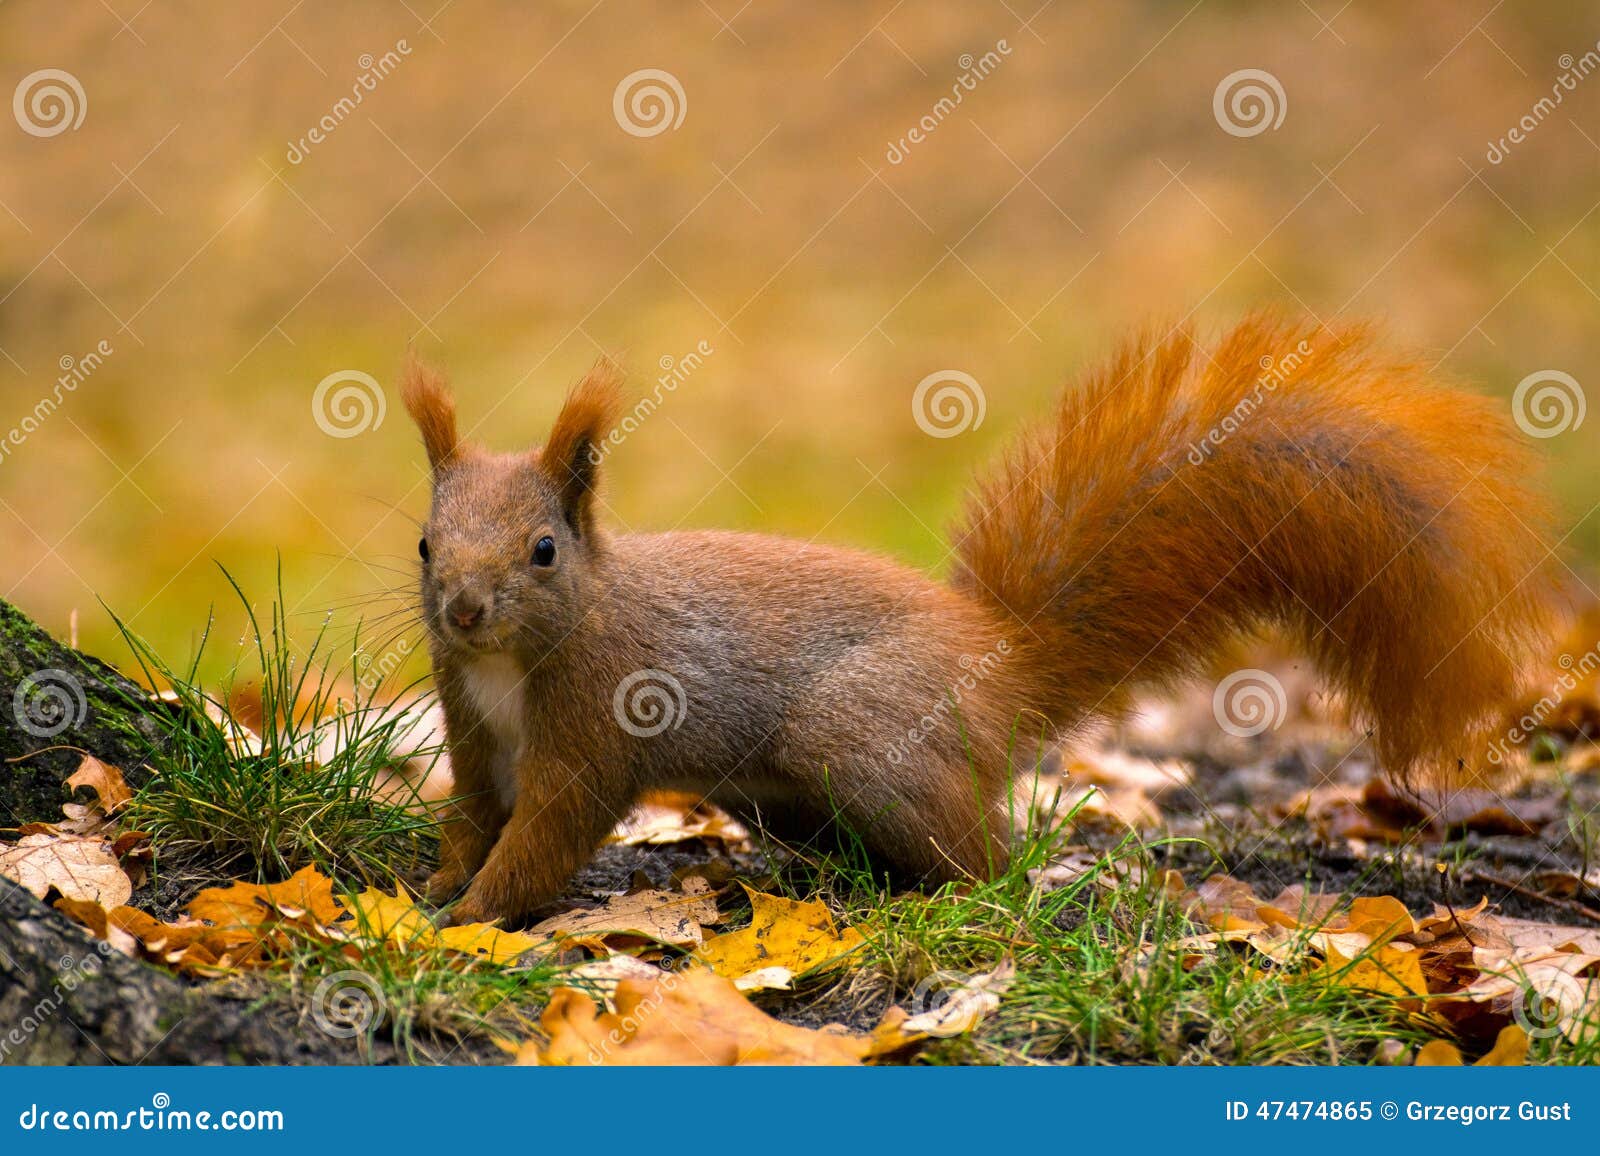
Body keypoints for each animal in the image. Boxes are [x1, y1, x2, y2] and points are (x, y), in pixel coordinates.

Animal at [400, 314, 1559, 926]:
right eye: (422, 542)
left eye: (543, 551)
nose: (461, 608)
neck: (516, 659)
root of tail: (1002, 660)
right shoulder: (473, 722)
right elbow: (476, 813)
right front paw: (436, 883)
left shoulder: (596, 718)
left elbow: (546, 834)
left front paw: (466, 916)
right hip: (785, 791)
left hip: (864, 736)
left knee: (986, 851)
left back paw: (953, 895)